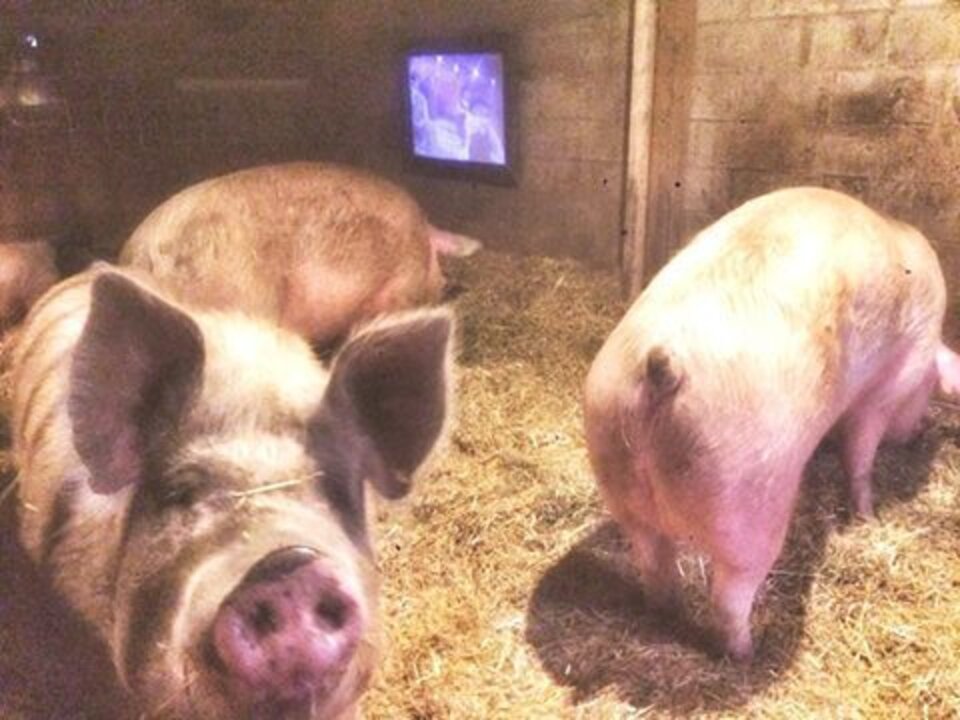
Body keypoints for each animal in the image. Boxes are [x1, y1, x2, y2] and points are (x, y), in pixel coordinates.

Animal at [584, 187, 960, 661]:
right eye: (927, 388)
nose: (918, 434)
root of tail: (662, 366)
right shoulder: (887, 386)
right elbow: (860, 453)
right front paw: (867, 515)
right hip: (747, 502)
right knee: (728, 599)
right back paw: (749, 654)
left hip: (616, 468)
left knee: (654, 568)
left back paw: (665, 613)